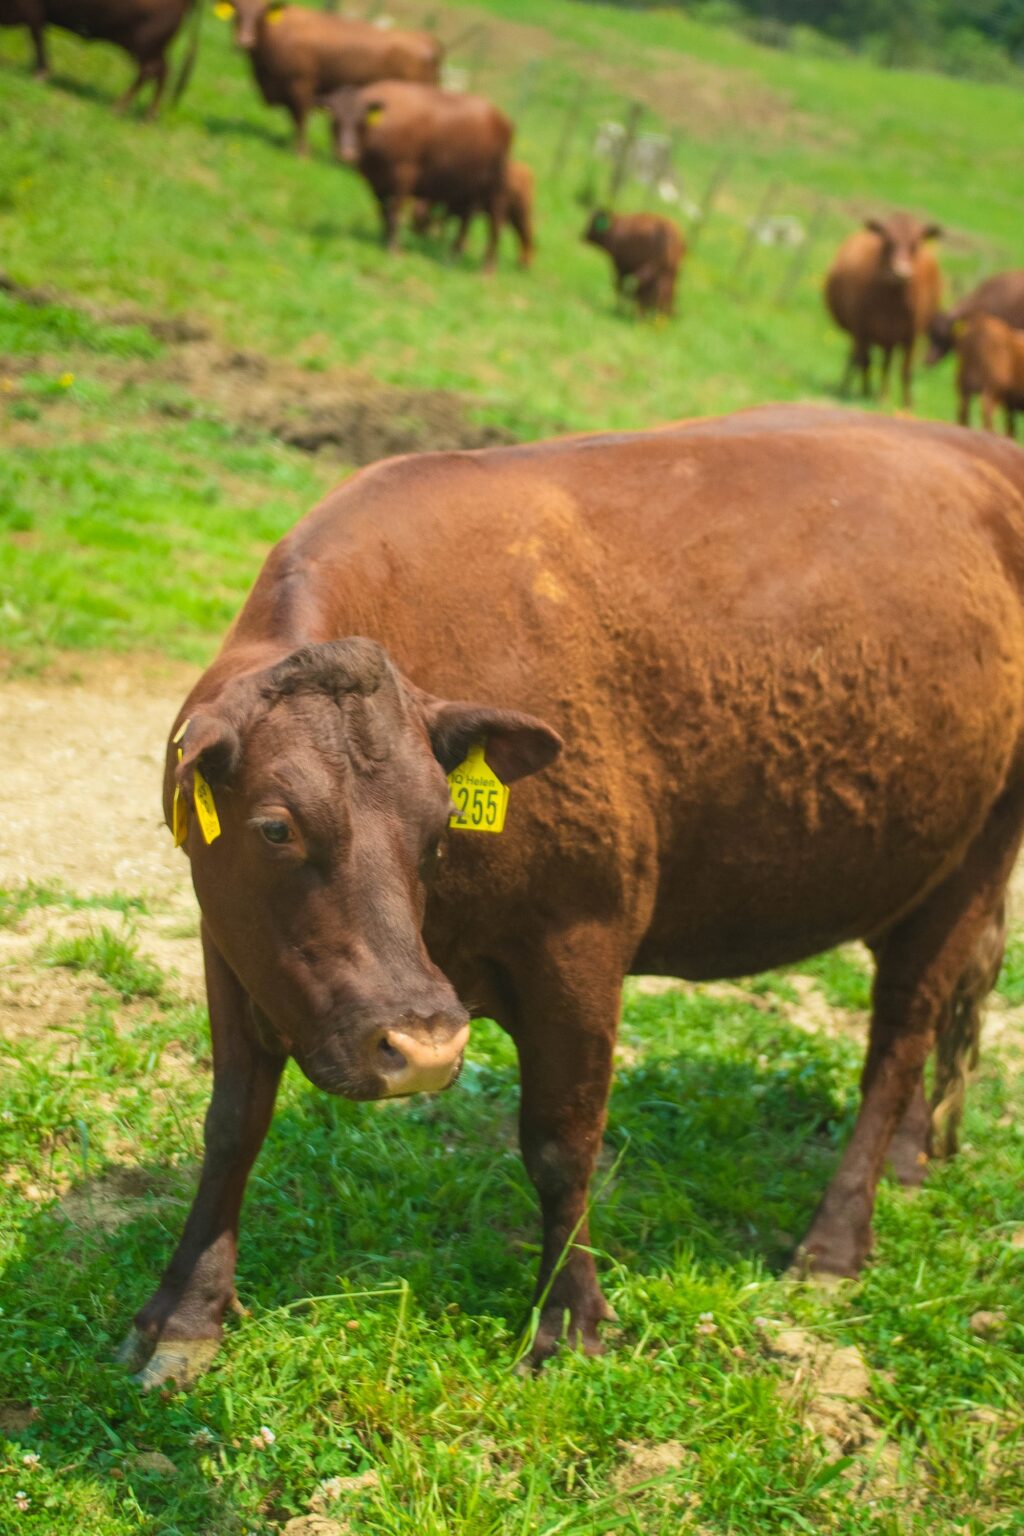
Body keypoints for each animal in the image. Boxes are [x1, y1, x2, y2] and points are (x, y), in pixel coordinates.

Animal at [0, 0, 195, 116]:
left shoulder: (32, 10)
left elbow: (38, 39)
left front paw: (41, 74)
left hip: (146, 44)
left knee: (152, 71)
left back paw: (122, 108)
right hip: (149, 47)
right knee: (162, 71)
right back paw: (147, 114)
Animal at [117, 407, 1024, 1391]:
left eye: (440, 823)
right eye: (275, 828)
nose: (425, 1047)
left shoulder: (579, 944)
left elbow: (561, 1143)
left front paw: (570, 1319)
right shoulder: (232, 945)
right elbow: (233, 1121)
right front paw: (183, 1314)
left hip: (969, 861)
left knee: (898, 1038)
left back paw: (835, 1241)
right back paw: (909, 1161)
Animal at [219, 1, 441, 157]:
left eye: (260, 14)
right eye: (237, 11)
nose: (244, 40)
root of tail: (425, 38)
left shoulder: (302, 86)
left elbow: (300, 120)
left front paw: (301, 152)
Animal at [320, 81, 512, 268]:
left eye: (361, 120)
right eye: (335, 119)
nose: (347, 153)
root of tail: (500, 118)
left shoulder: (404, 175)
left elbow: (395, 212)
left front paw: (393, 250)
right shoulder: (375, 181)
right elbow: (383, 211)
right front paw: (382, 240)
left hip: (496, 185)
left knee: (495, 222)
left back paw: (487, 267)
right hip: (468, 187)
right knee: (466, 219)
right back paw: (453, 256)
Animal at [824, 212, 943, 409]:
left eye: (915, 244)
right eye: (888, 241)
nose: (901, 272)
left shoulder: (910, 335)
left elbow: (905, 370)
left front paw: (907, 403)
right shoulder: (861, 330)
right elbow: (865, 361)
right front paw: (865, 393)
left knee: (885, 363)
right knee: (860, 359)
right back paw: (852, 388)